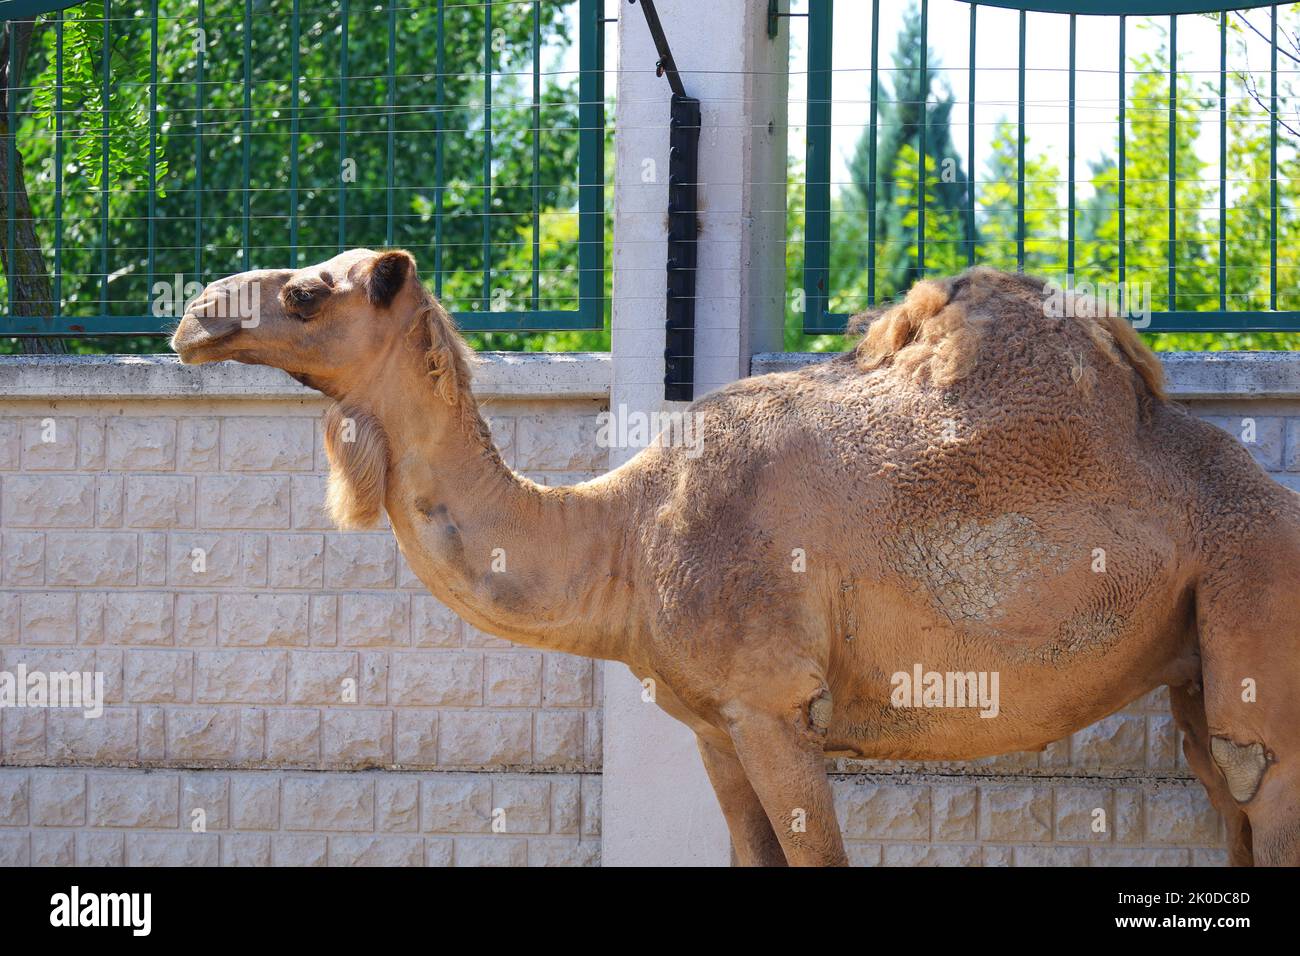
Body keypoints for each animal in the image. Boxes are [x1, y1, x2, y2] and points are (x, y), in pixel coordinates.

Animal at [170, 249, 1300, 866]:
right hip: (1195, 673)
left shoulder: (772, 704)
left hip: (1255, 607)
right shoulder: (714, 724)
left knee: (1260, 782)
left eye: (309, 294)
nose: (190, 315)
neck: (627, 538)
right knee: (1226, 792)